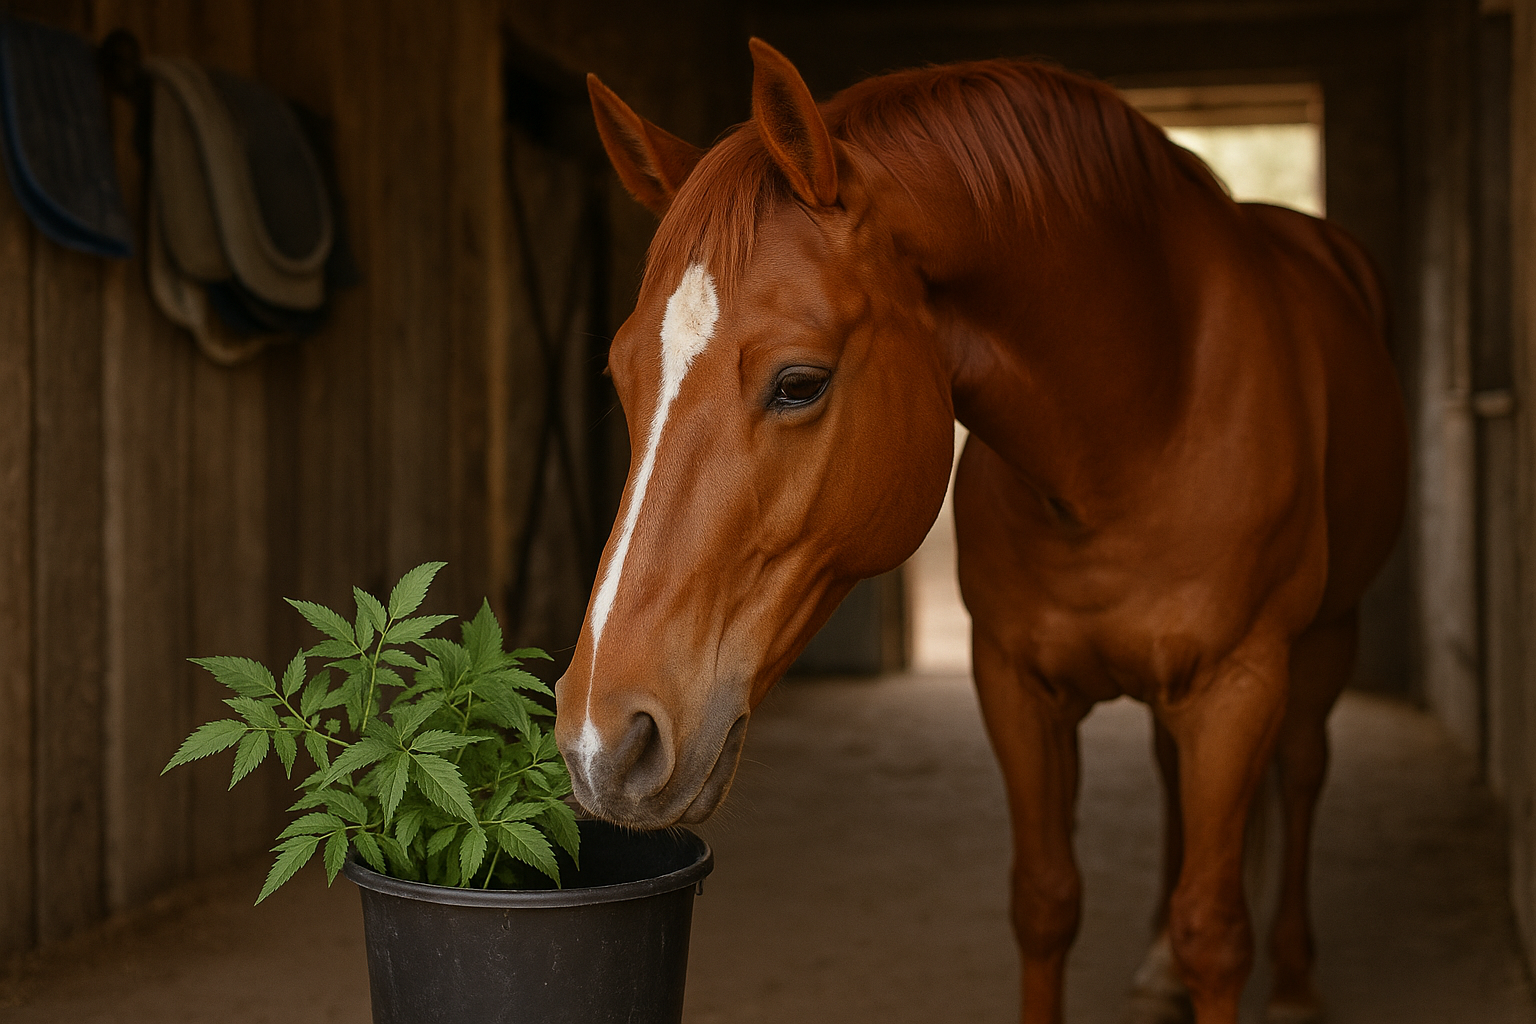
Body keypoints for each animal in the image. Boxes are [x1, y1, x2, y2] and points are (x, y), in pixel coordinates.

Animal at [552, 38, 1407, 1024]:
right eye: (619, 376)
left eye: (801, 383)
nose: (602, 741)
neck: (1142, 423)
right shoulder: (1013, 682)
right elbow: (1044, 903)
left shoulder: (1237, 685)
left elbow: (1216, 932)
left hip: (1321, 643)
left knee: (1302, 774)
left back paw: (1298, 981)